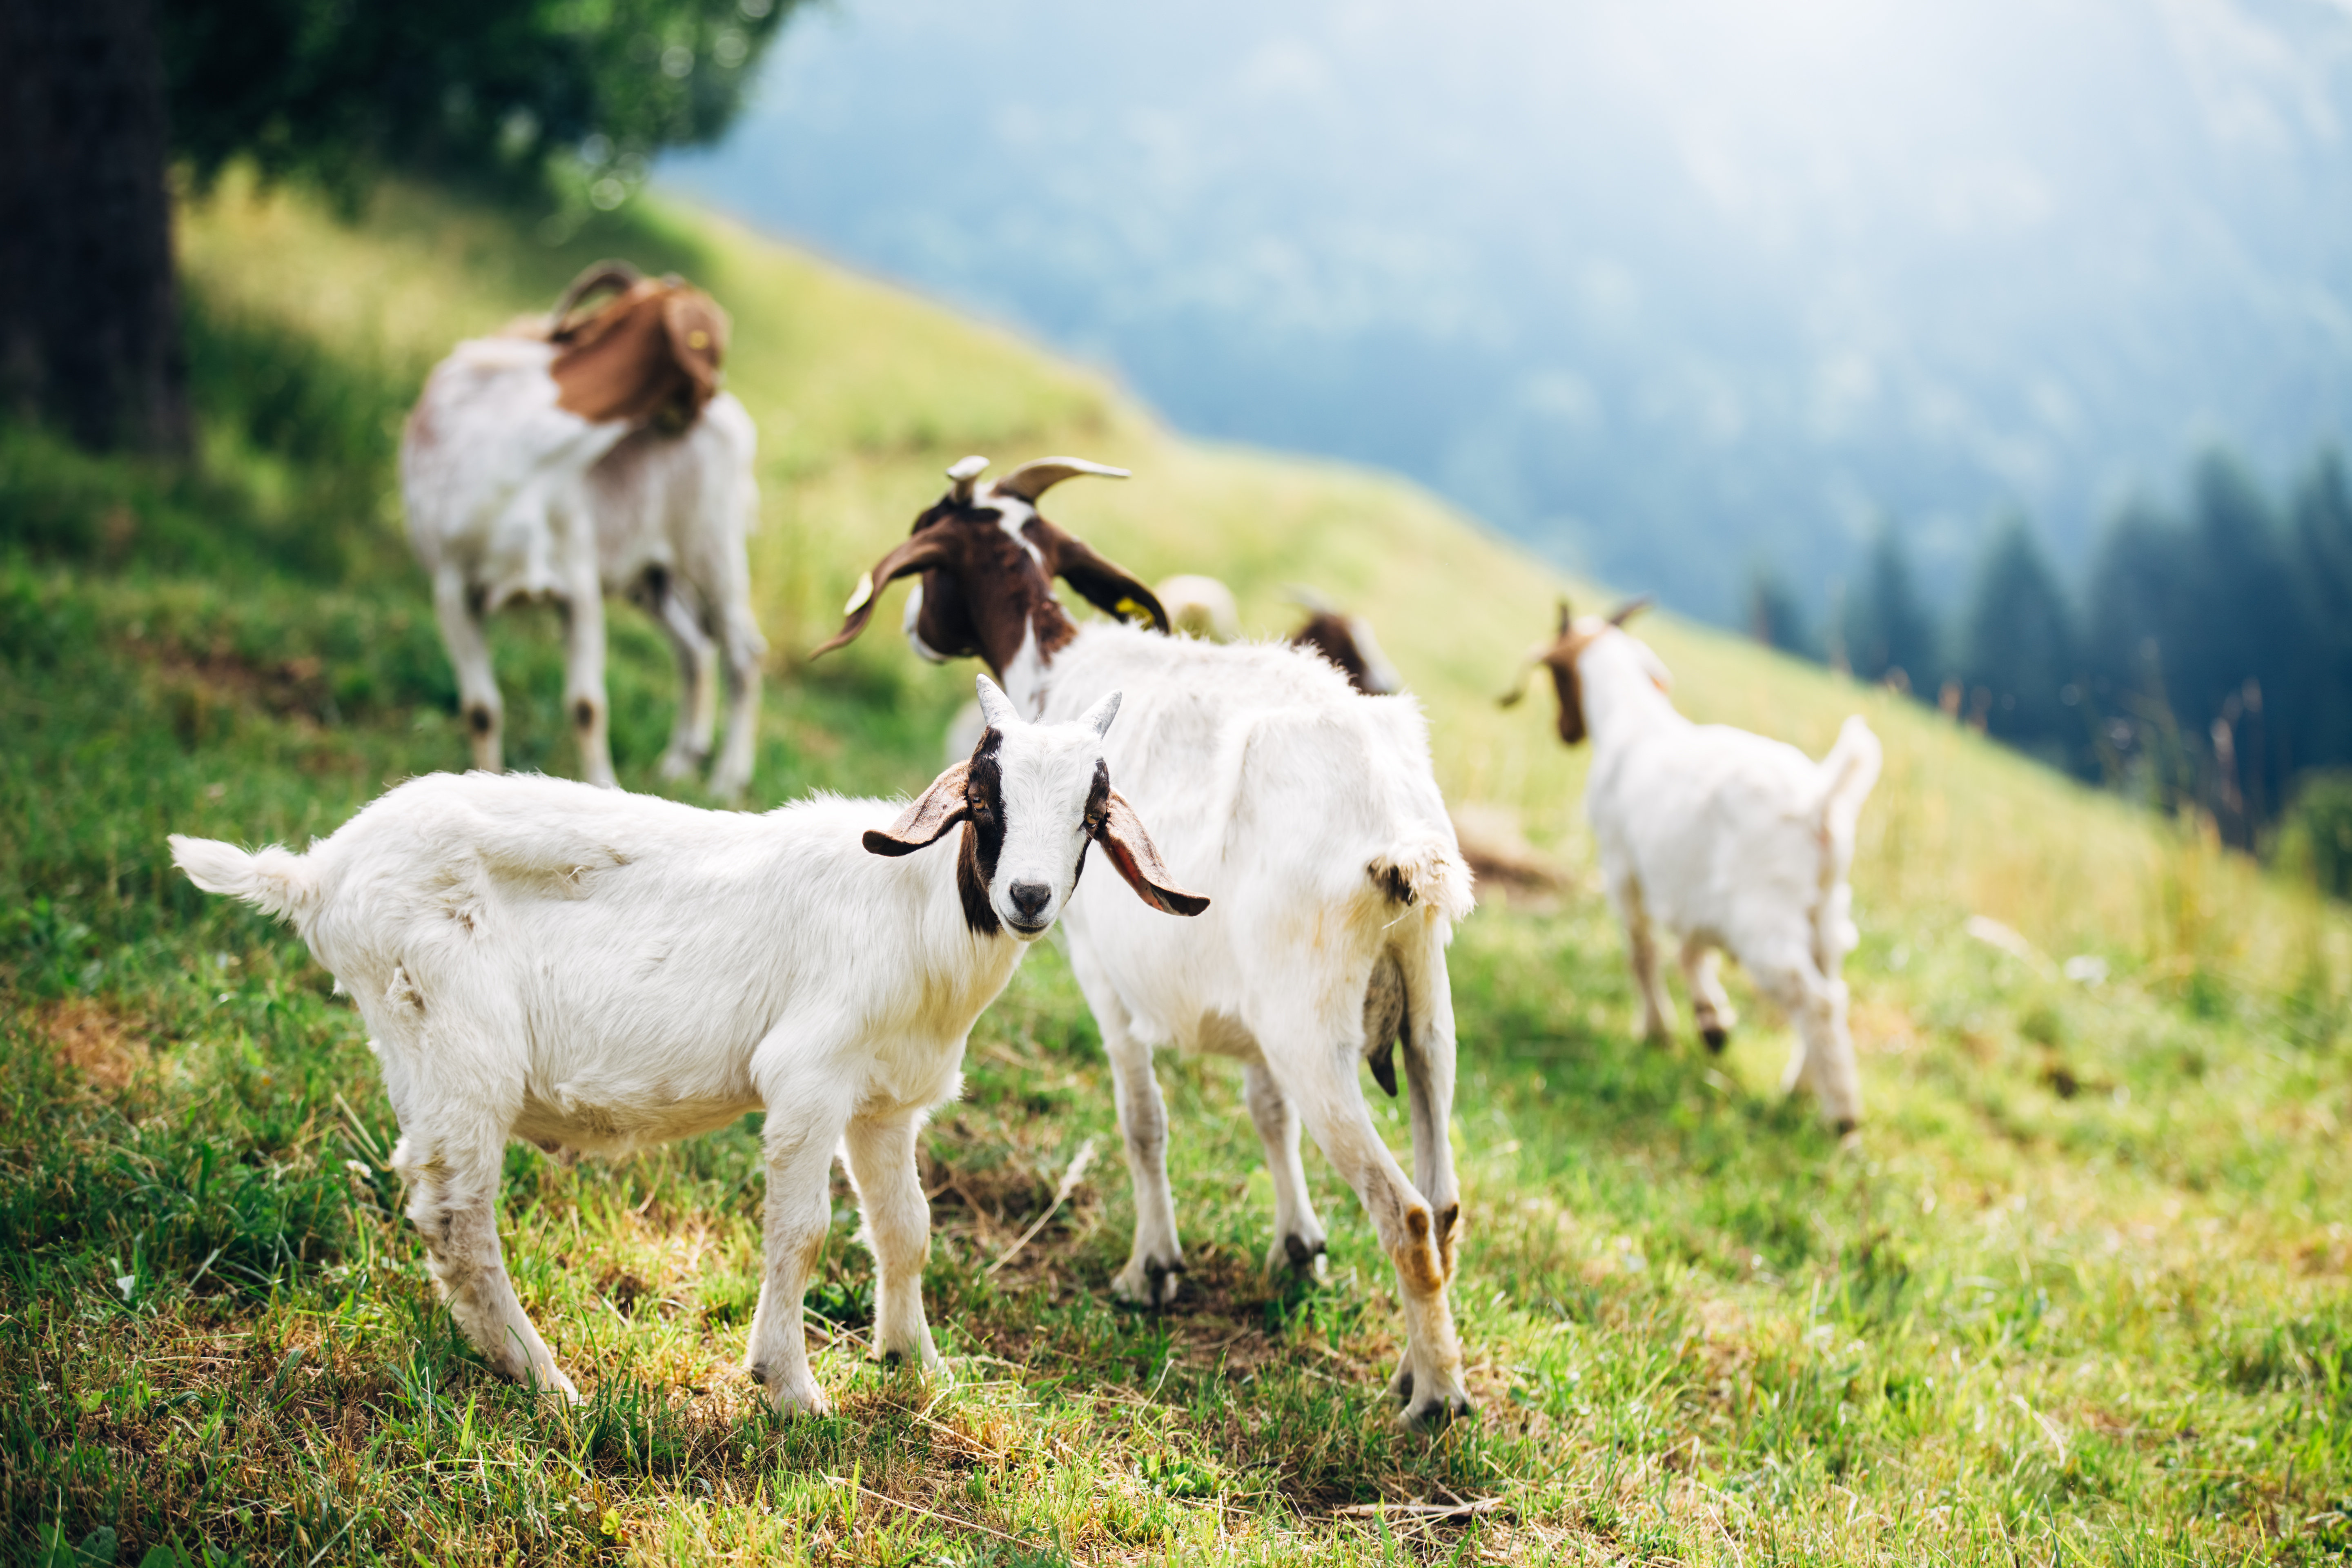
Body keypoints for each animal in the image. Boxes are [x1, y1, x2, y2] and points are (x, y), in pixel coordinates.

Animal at [168, 674, 1203, 1415]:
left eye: (1090, 814)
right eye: (984, 801)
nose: (1027, 896)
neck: (914, 910)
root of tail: (318, 873)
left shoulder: (884, 1102)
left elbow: (905, 1229)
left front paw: (917, 1362)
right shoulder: (807, 1081)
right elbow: (800, 1231)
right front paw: (790, 1388)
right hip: (458, 1041)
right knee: (456, 1216)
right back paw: (544, 1381)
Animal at [401, 260, 767, 799]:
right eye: (716, 338)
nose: (706, 400)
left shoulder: (578, 582)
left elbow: (587, 706)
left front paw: (606, 792)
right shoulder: (451, 589)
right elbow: (482, 711)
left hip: (712, 550)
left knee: (744, 655)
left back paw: (725, 782)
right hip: (654, 577)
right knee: (695, 651)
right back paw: (681, 765)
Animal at [816, 455, 1477, 1431]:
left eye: (928, 538)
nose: (912, 629)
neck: (1055, 673)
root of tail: (1398, 836)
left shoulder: (1104, 972)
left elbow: (1143, 1121)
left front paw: (1152, 1270)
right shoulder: (1250, 1011)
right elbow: (1264, 1110)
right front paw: (1298, 1246)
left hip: (1314, 1028)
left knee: (1410, 1215)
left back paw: (1434, 1400)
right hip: (1424, 1011)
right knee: (1448, 1199)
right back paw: (1416, 1366)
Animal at [1502, 601, 1882, 1133]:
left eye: (1558, 678)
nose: (1565, 732)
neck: (1635, 725)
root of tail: (1818, 802)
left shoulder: (1621, 866)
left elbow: (1641, 950)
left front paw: (1657, 1032)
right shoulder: (1689, 885)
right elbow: (1691, 948)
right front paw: (1712, 1021)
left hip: (1764, 915)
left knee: (1817, 1001)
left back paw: (1842, 1119)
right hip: (1826, 914)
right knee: (1833, 988)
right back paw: (1801, 1088)